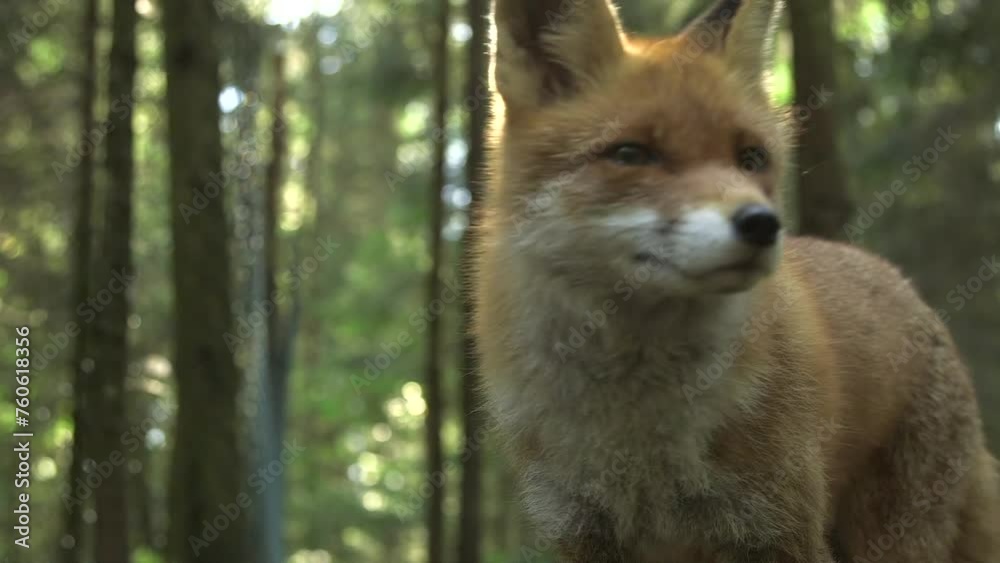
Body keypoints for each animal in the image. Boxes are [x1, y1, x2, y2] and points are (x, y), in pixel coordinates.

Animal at [471, 0, 1000, 561]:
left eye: (751, 158)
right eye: (630, 154)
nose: (763, 224)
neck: (637, 432)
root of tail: (901, 282)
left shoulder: (776, 527)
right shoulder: (580, 529)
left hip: (891, 534)